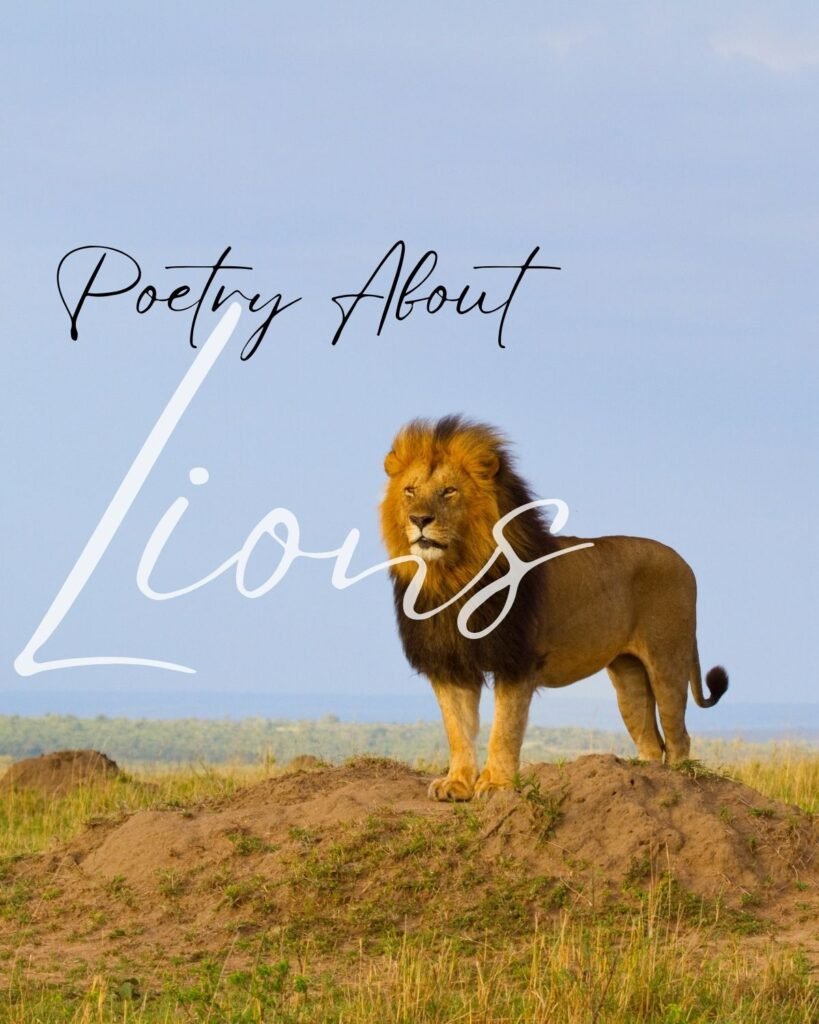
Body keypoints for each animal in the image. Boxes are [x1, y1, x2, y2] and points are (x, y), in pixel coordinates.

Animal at [380, 415, 728, 801]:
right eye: (410, 490)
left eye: (449, 491)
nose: (419, 519)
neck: (452, 578)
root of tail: (683, 560)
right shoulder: (450, 665)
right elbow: (457, 729)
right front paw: (457, 784)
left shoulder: (516, 661)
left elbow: (504, 729)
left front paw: (495, 784)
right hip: (629, 675)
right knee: (651, 740)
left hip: (668, 659)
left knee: (679, 737)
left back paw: (679, 786)